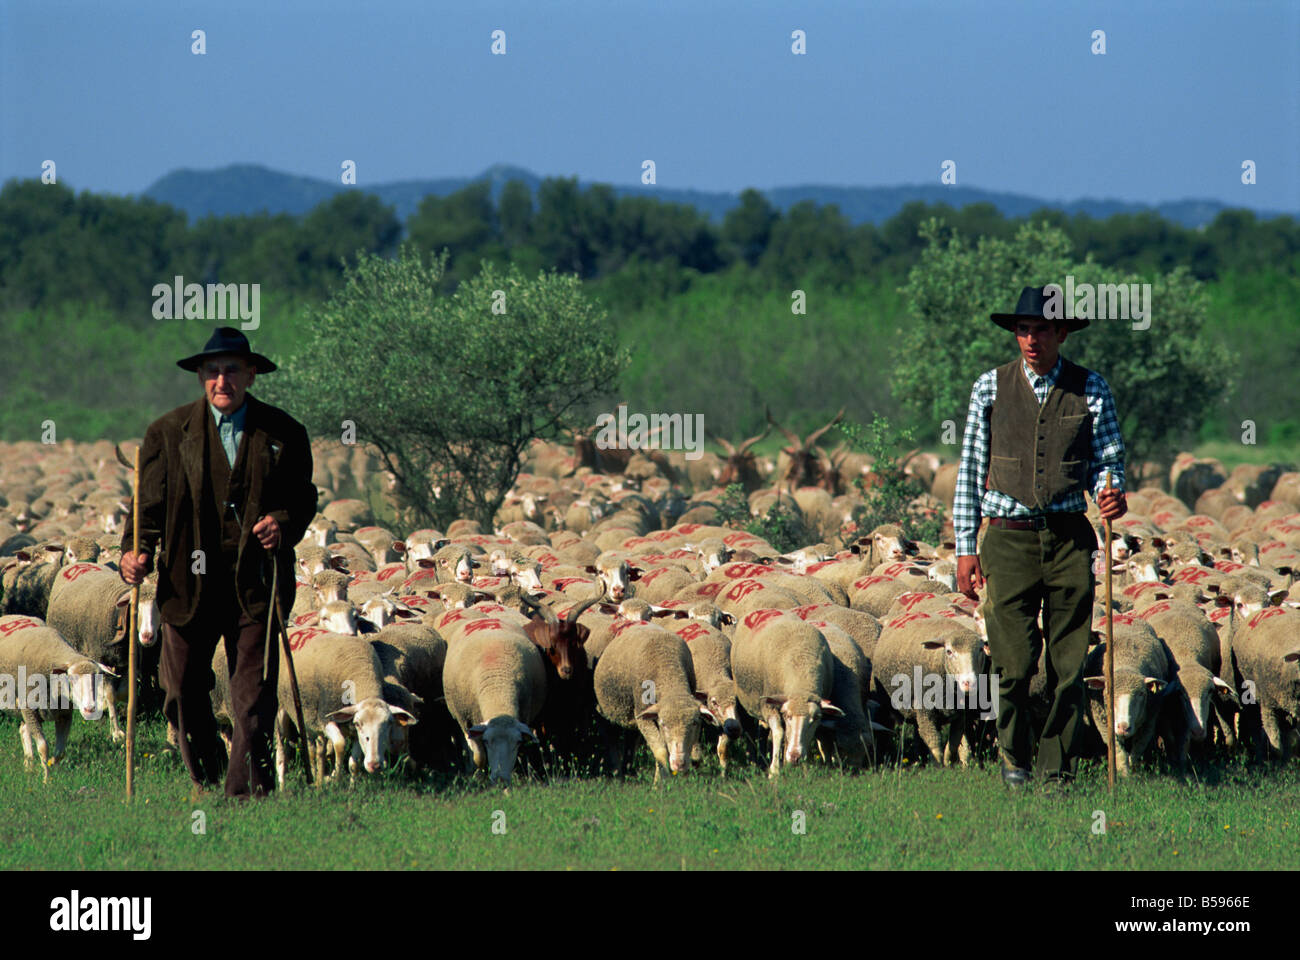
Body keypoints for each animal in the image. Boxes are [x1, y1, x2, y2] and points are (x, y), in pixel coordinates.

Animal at [0, 615, 115, 779]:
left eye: (99, 679)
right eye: (72, 679)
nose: (90, 709)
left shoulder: (64, 715)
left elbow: (60, 752)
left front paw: (53, 766)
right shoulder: (29, 709)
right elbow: (43, 747)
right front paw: (46, 779)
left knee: (23, 729)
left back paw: (28, 766)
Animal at [441, 622, 547, 785]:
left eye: (517, 742)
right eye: (486, 741)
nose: (500, 779)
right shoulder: (467, 719)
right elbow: (478, 756)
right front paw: (478, 774)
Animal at [593, 623, 714, 782]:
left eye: (695, 723)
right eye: (664, 724)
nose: (679, 764)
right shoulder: (643, 714)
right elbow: (661, 751)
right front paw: (660, 782)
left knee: (631, 739)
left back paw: (628, 770)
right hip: (606, 710)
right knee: (609, 735)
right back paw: (617, 773)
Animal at [730, 609, 844, 777]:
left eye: (815, 718)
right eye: (788, 716)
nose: (795, 756)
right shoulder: (769, 706)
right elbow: (779, 732)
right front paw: (774, 770)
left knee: (763, 732)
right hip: (746, 699)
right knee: (751, 730)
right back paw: (754, 761)